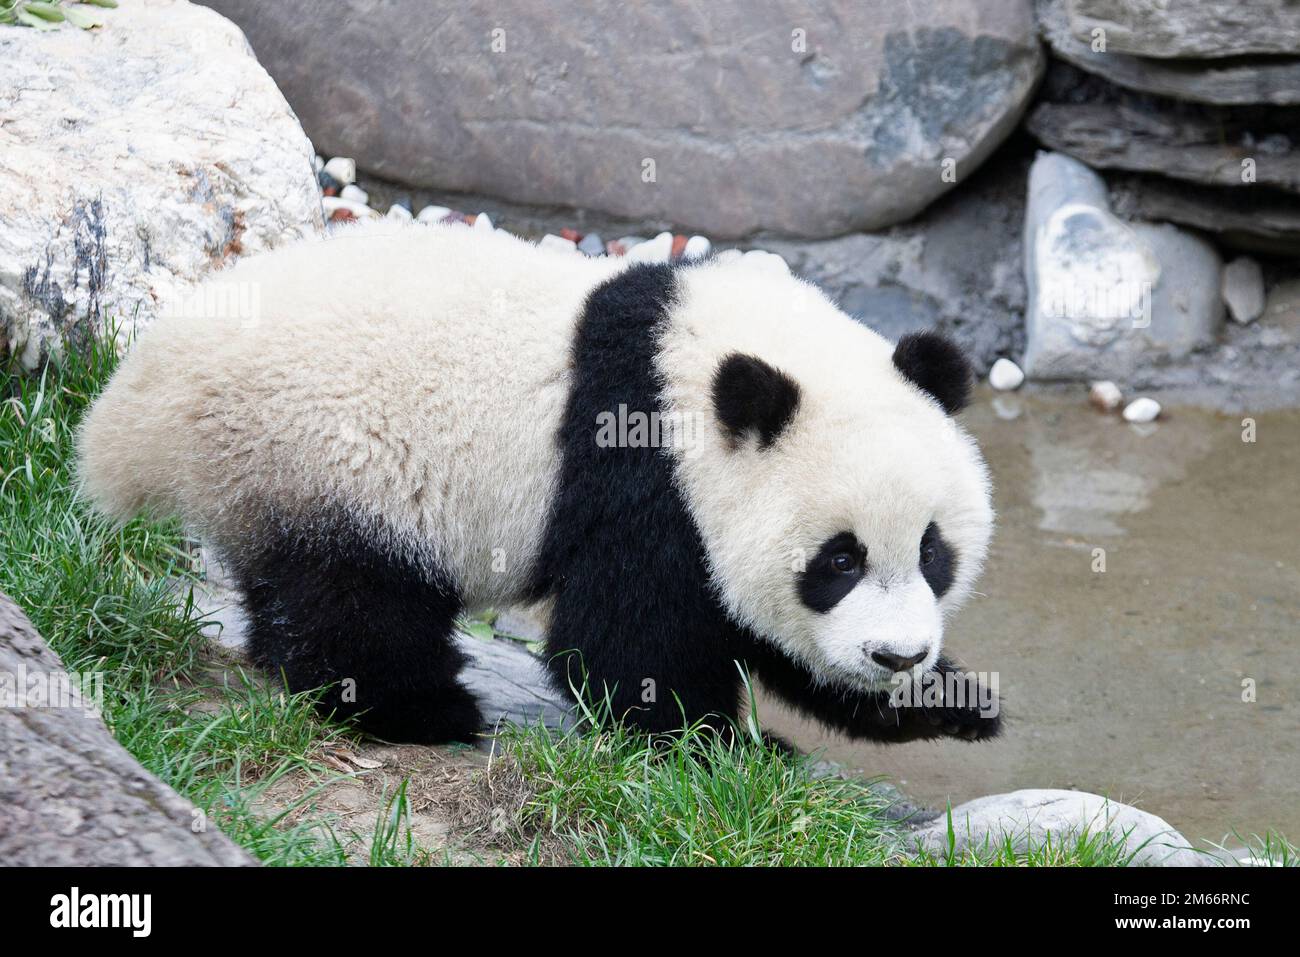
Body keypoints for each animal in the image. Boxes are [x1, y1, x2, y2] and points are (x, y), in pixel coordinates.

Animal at [78, 220, 999, 746]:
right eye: (838, 560)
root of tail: (135, 407)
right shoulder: (643, 471)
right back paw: (421, 710)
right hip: (322, 455)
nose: (897, 654)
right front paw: (717, 744)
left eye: (933, 552)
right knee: (353, 599)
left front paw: (950, 698)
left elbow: (755, 629)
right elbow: (626, 640)